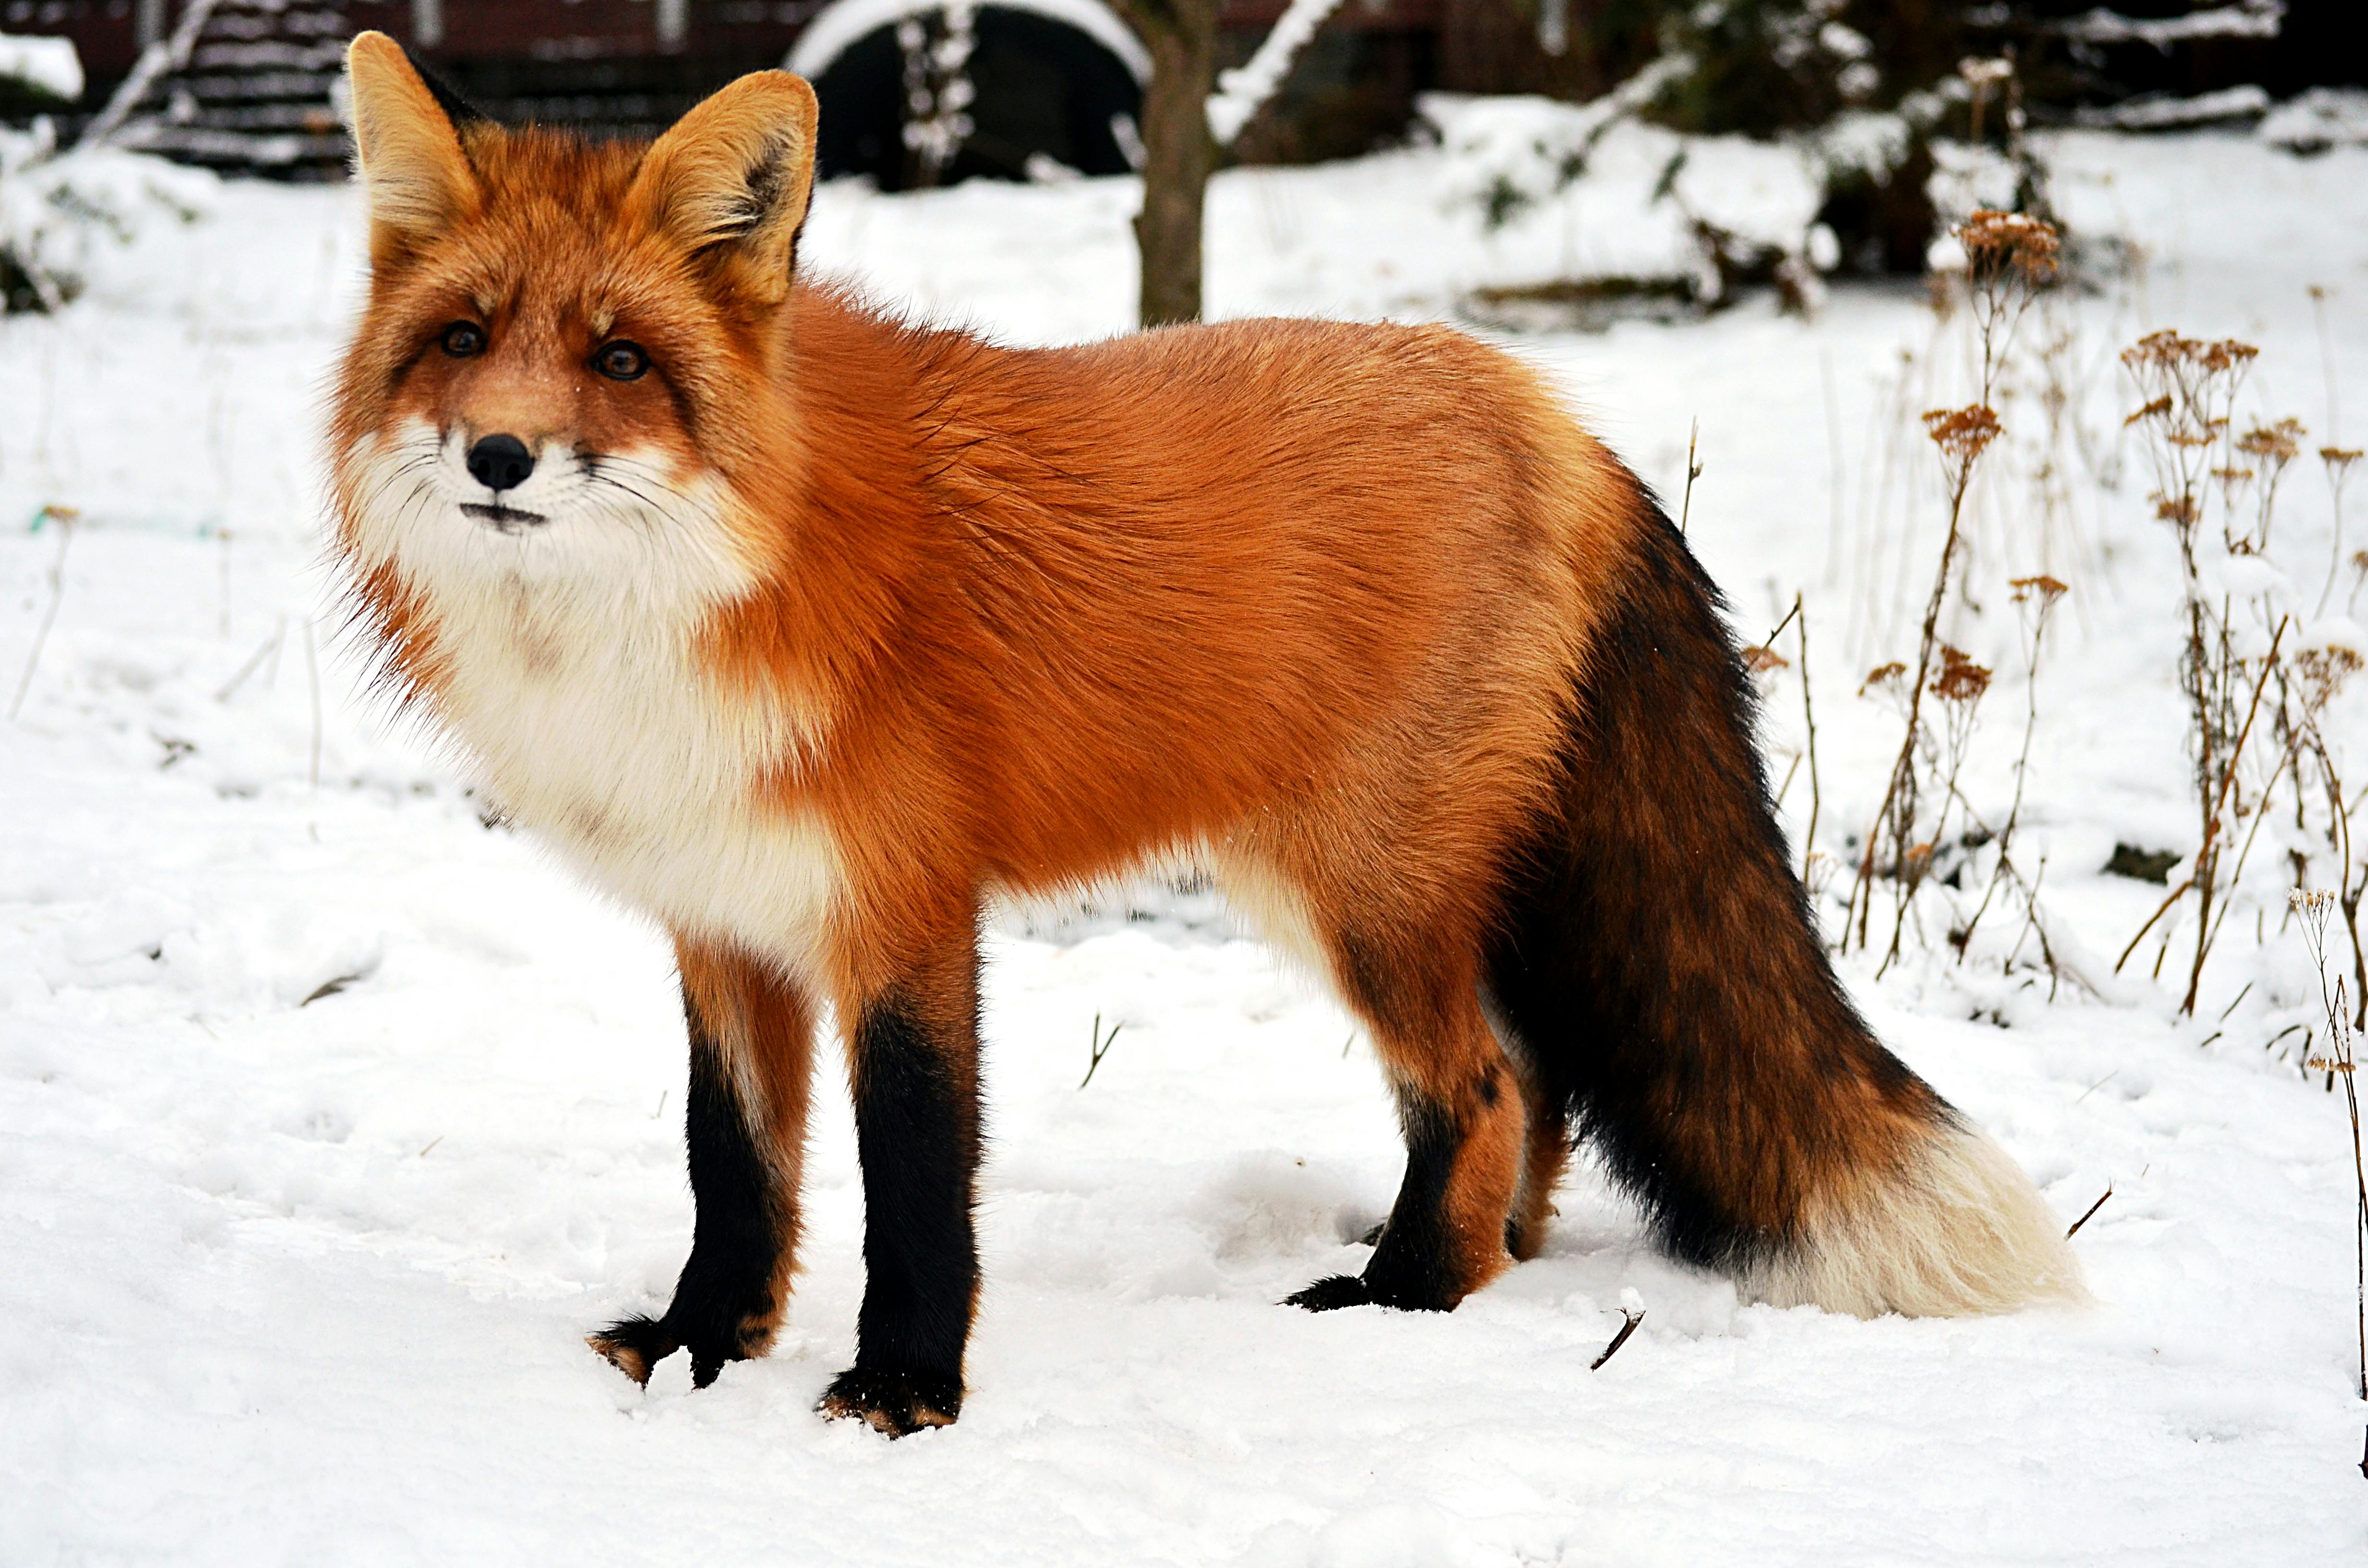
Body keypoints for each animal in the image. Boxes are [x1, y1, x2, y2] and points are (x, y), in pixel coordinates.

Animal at [328, 32, 2084, 1436]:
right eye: (465, 340)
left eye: (621, 362)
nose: (498, 459)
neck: (679, 603)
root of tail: (1559, 418)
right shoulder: (723, 919)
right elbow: (733, 1168)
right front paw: (704, 1349)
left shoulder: (902, 911)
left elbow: (914, 1179)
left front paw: (903, 1394)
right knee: (1530, 1089)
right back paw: (1480, 1271)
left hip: (1356, 894)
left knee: (1484, 1088)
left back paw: (1404, 1298)